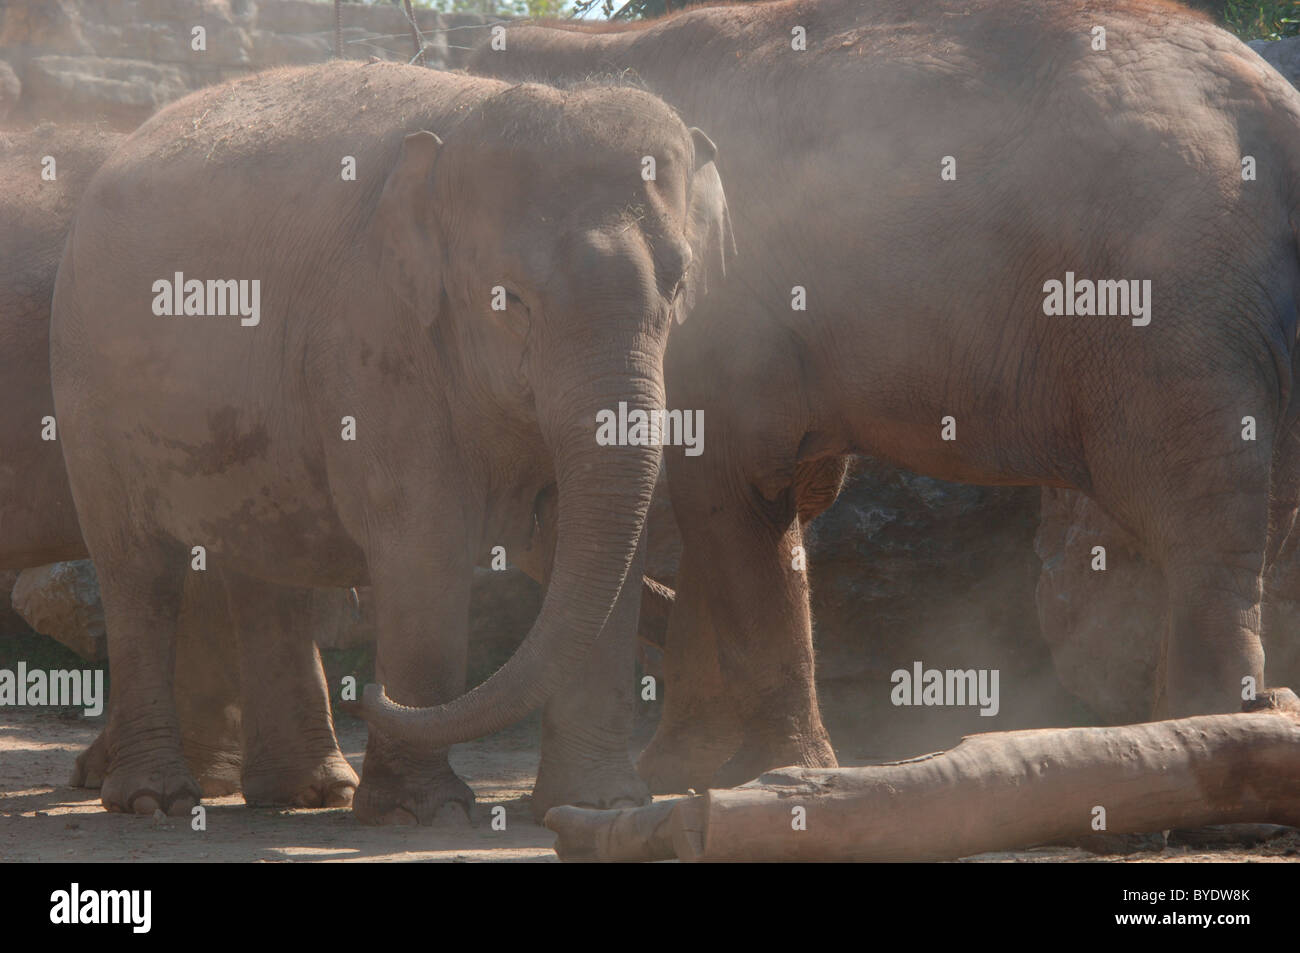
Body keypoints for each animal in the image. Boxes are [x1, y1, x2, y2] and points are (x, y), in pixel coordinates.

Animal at [49, 62, 732, 821]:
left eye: (678, 284)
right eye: (511, 299)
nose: (370, 693)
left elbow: (602, 545)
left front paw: (602, 804)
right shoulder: (373, 335)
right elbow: (423, 539)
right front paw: (423, 811)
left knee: (265, 570)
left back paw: (310, 791)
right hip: (88, 396)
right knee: (140, 572)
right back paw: (157, 799)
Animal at [398, 0, 1300, 793]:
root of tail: (1273, 100)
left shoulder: (723, 321)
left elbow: (735, 494)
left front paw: (769, 772)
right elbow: (752, 508)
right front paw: (684, 772)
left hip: (1168, 311)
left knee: (1195, 517)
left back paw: (1201, 724)